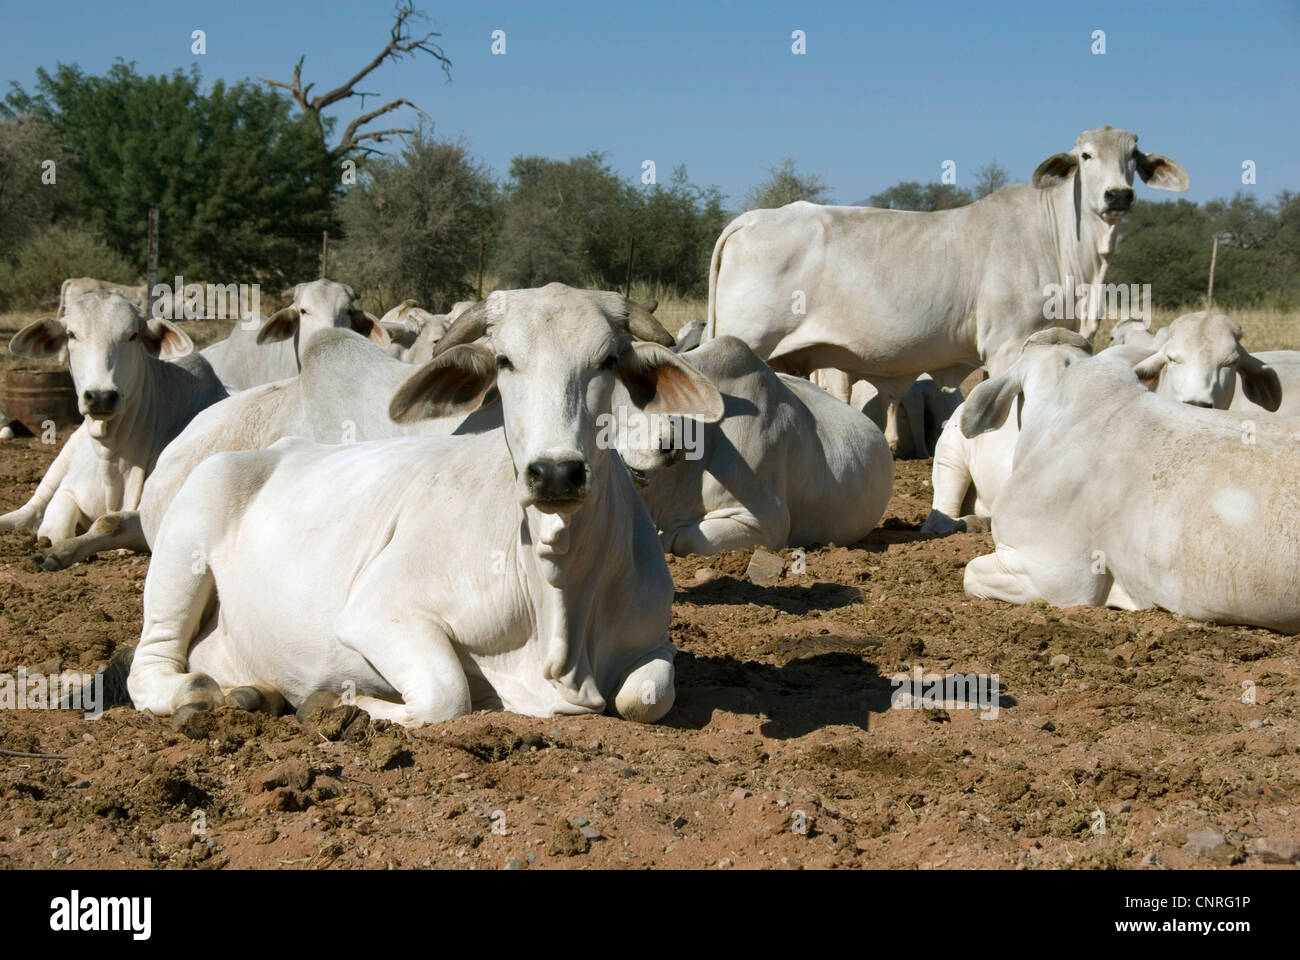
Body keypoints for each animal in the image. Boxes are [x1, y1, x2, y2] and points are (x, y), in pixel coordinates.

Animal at [0, 293, 226, 547]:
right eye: (71, 334)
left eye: (133, 335)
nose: (101, 396)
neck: (114, 459)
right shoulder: (66, 492)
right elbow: (55, 532)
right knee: (28, 511)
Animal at [704, 125, 1188, 451]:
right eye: (1086, 155)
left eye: (1134, 155)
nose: (1117, 195)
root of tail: (757, 216)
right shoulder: (1008, 343)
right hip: (744, 339)